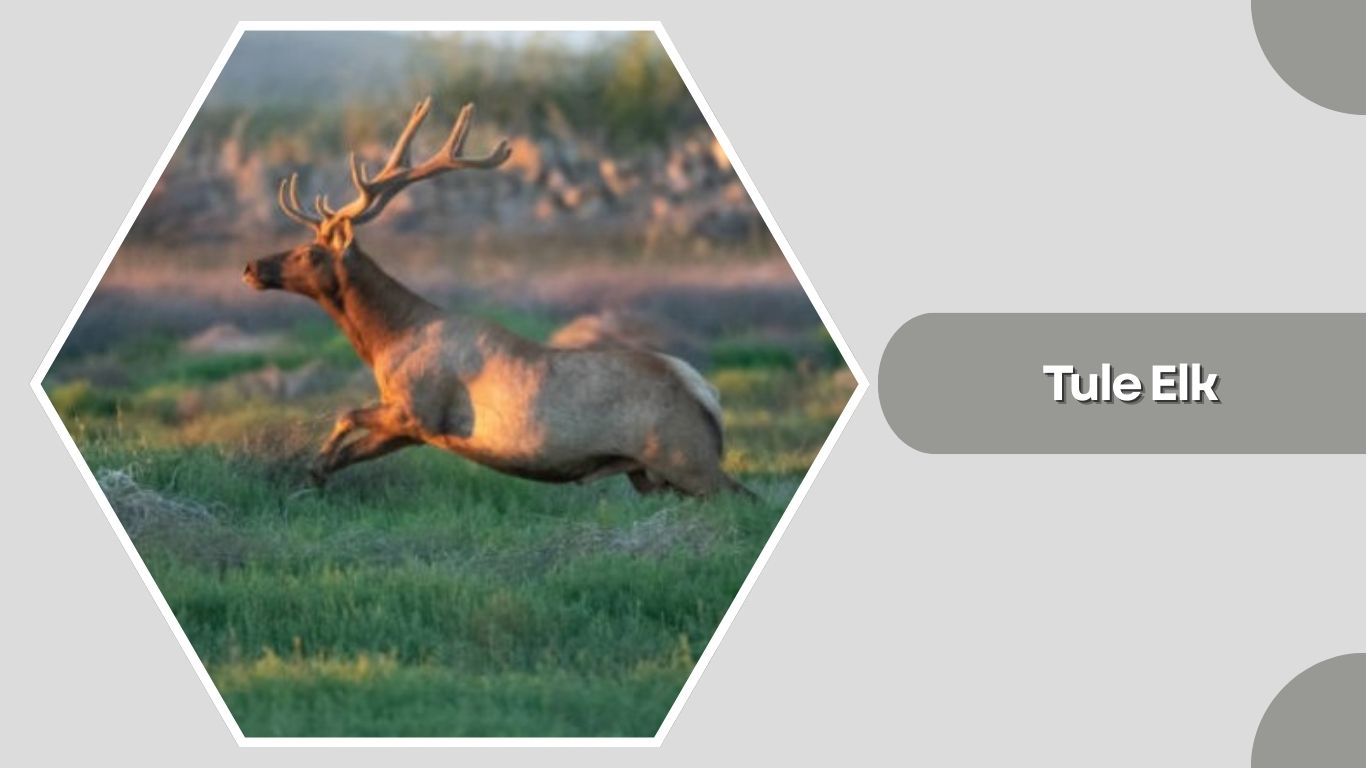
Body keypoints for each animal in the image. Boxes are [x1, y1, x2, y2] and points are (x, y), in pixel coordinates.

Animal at [242, 98, 751, 498]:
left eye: (310, 252)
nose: (251, 268)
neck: (386, 341)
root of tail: (708, 396)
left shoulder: (421, 414)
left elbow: (344, 418)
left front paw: (311, 474)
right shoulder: (412, 426)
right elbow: (342, 441)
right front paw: (312, 476)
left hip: (686, 460)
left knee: (744, 497)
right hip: (651, 475)